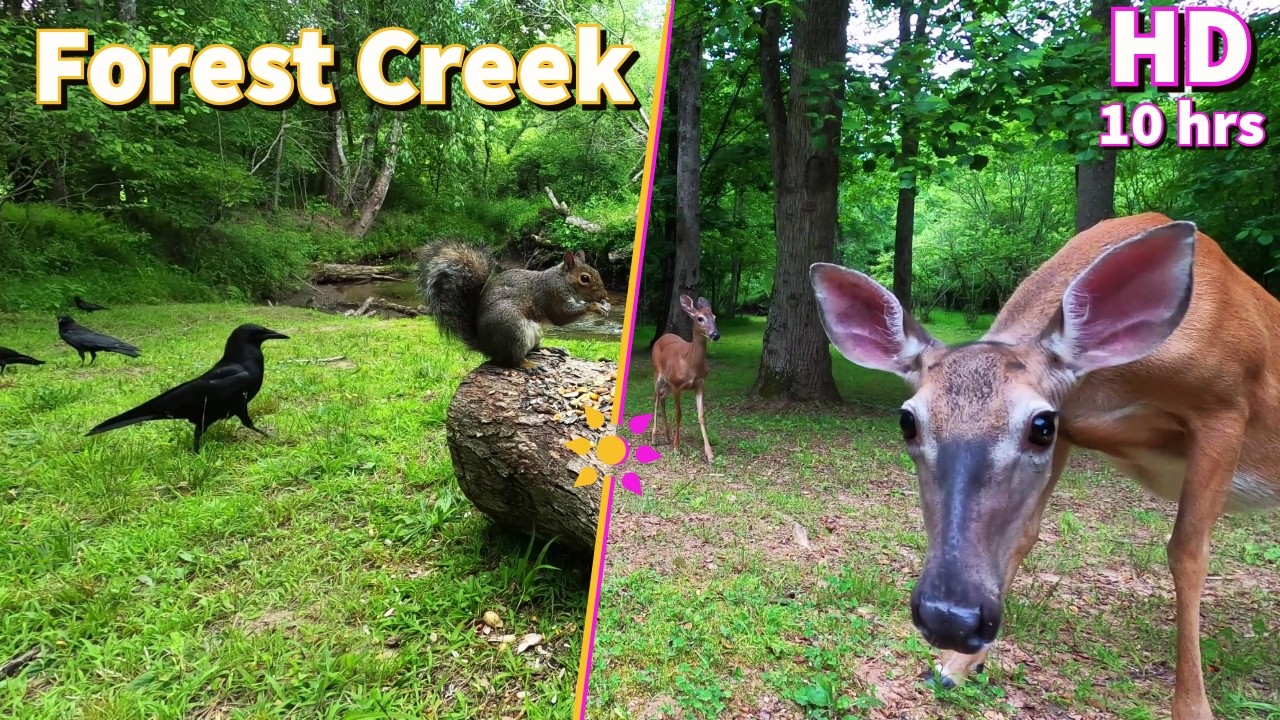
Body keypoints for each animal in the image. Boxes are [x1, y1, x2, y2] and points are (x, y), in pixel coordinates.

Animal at [651, 294, 720, 463]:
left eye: (714, 317)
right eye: (700, 318)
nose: (715, 335)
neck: (690, 363)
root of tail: (661, 337)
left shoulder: (700, 384)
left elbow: (701, 416)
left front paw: (709, 454)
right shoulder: (677, 386)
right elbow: (678, 414)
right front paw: (677, 448)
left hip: (668, 383)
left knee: (662, 397)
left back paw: (667, 437)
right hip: (657, 374)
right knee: (655, 398)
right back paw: (654, 438)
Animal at [809, 213, 1280, 720]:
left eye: (1040, 425)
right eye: (907, 421)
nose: (950, 617)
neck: (1115, 381)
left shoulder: (1226, 404)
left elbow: (1189, 553)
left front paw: (1193, 707)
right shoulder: (1074, 426)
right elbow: (1027, 532)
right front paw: (957, 666)